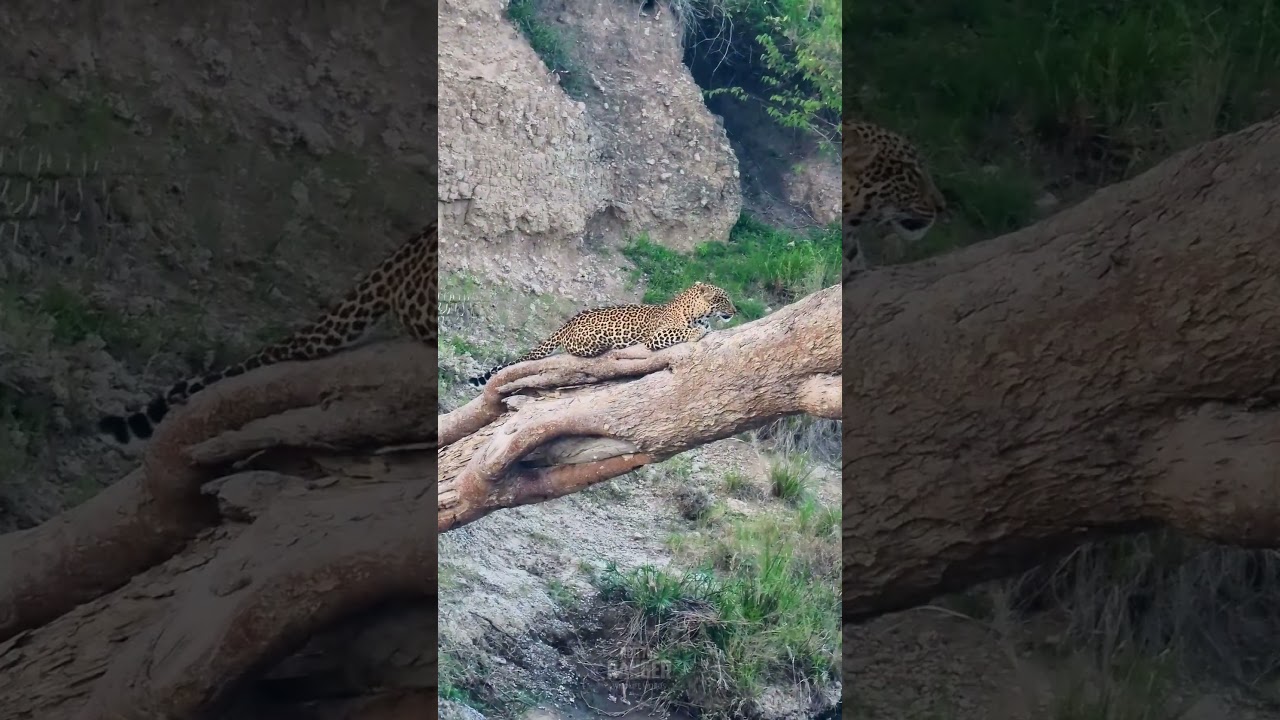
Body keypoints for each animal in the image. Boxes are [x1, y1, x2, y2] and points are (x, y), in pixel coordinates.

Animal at [467, 280, 736, 388]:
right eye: (723, 299)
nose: (735, 311)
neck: (696, 312)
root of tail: (569, 322)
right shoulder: (656, 336)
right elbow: (681, 331)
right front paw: (697, 331)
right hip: (592, 340)